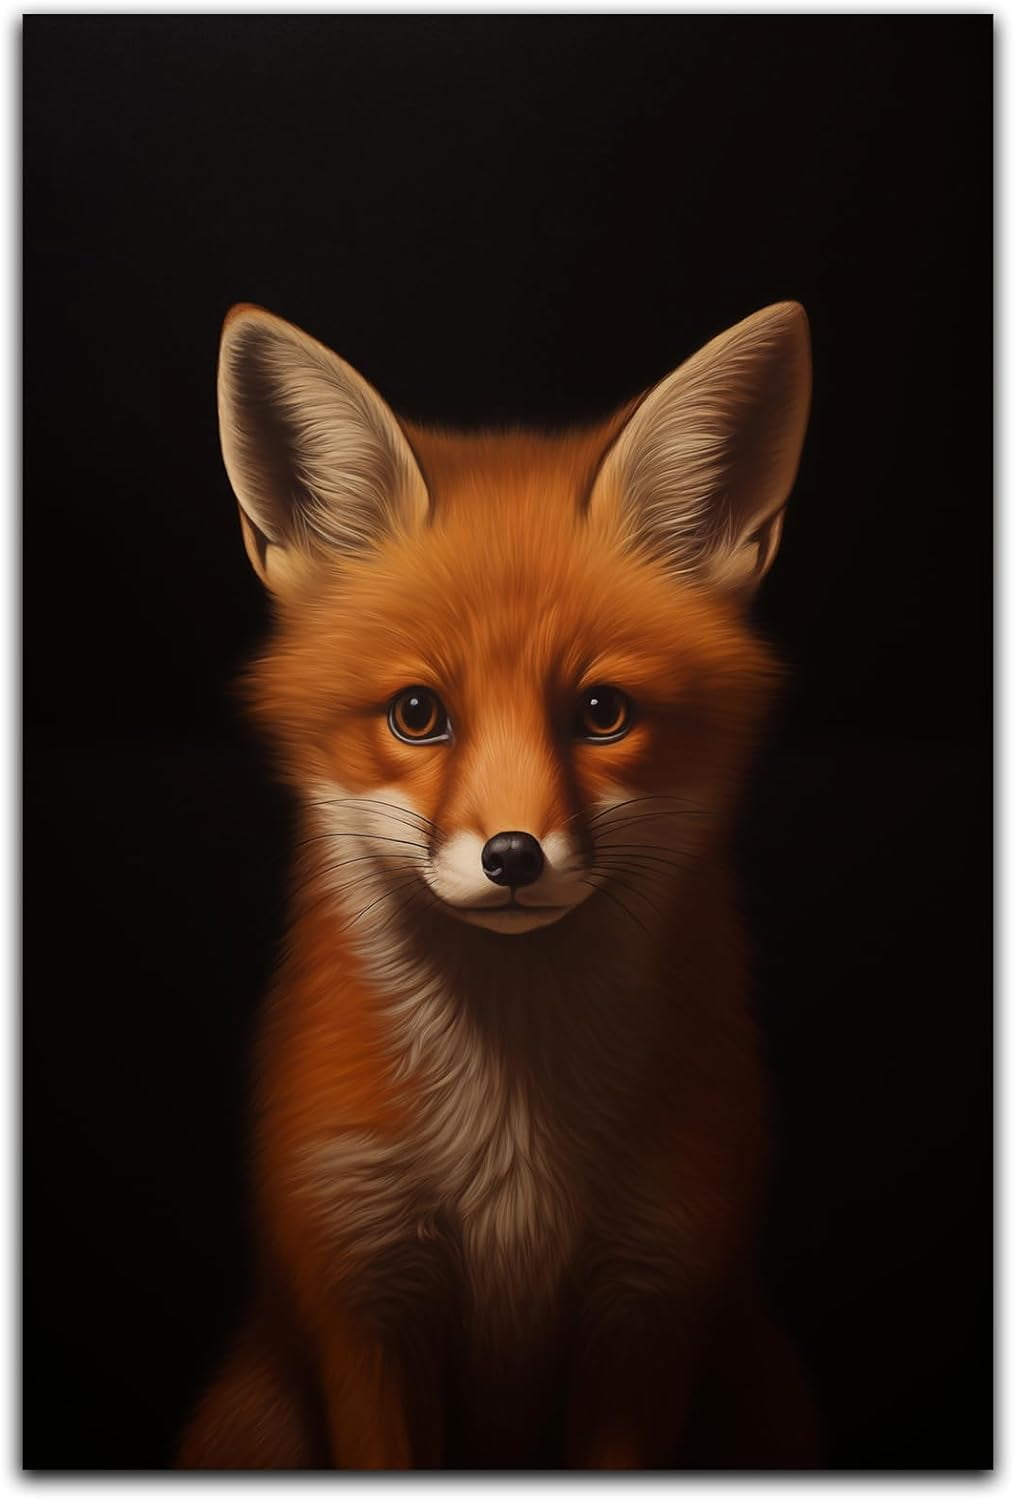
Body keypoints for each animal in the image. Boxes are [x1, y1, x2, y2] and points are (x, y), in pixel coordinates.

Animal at [178, 299, 818, 1470]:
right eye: (417, 714)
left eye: (602, 713)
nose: (513, 856)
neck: (513, 1156)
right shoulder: (364, 1293)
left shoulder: (651, 1296)